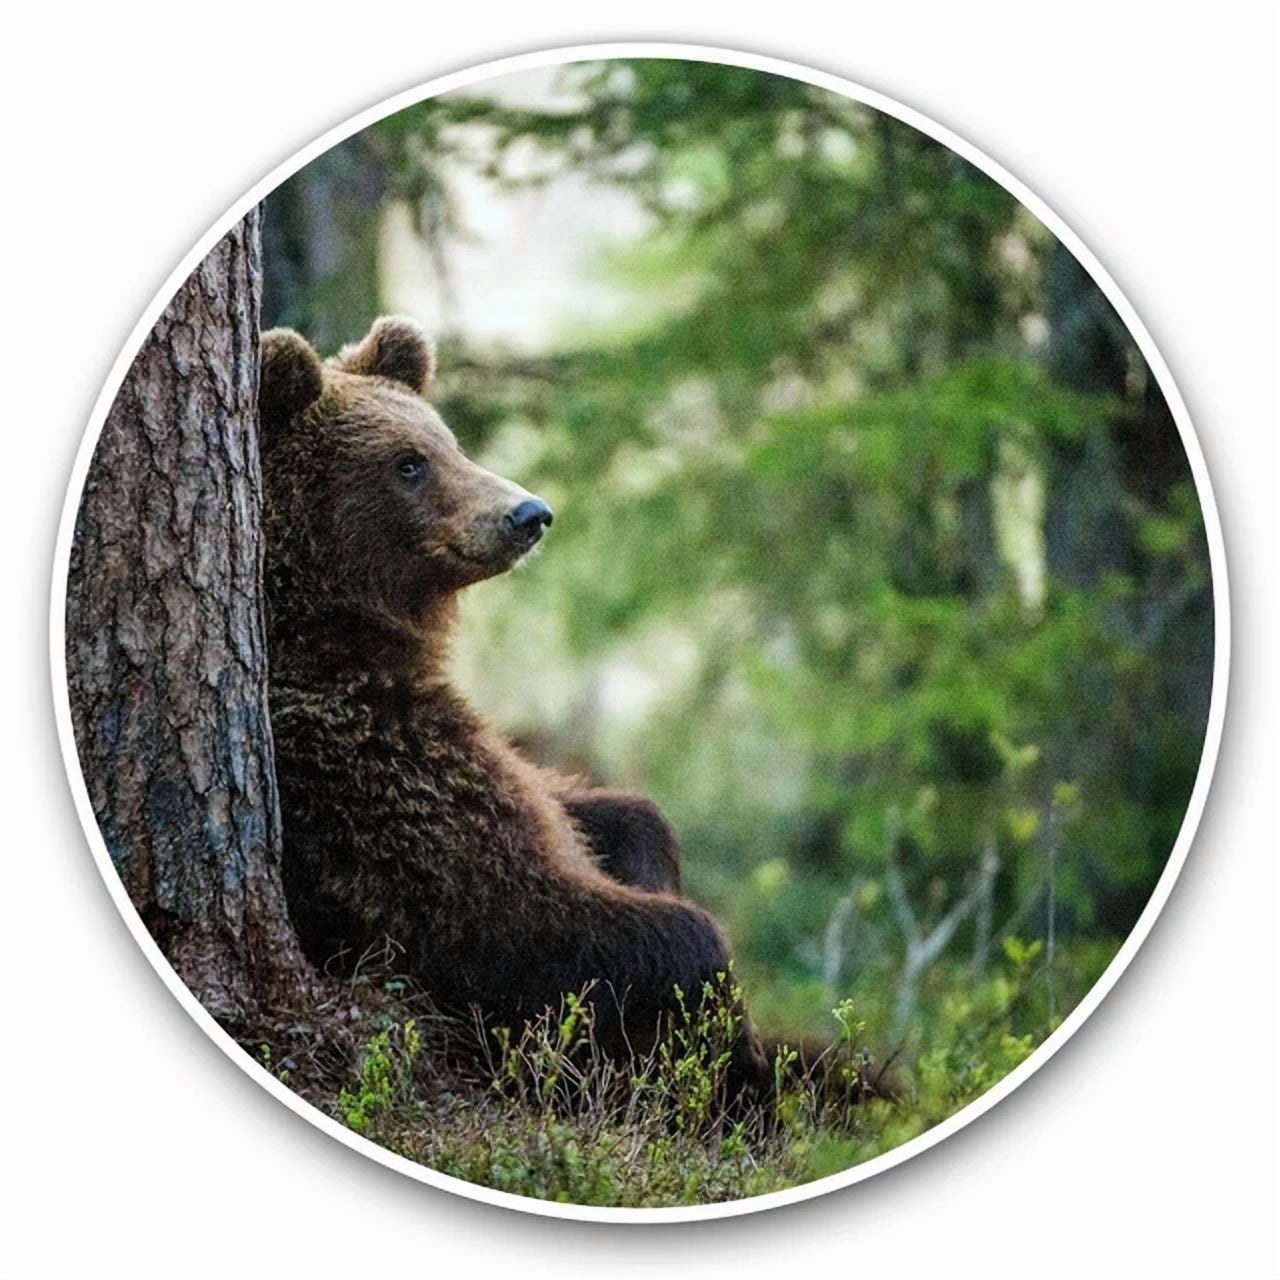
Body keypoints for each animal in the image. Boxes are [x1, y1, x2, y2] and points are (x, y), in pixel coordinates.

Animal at [258, 316, 770, 1096]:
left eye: (449, 442)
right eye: (408, 464)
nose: (528, 513)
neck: (338, 634)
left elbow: (606, 812)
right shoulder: (372, 784)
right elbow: (521, 918)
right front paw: (733, 1061)